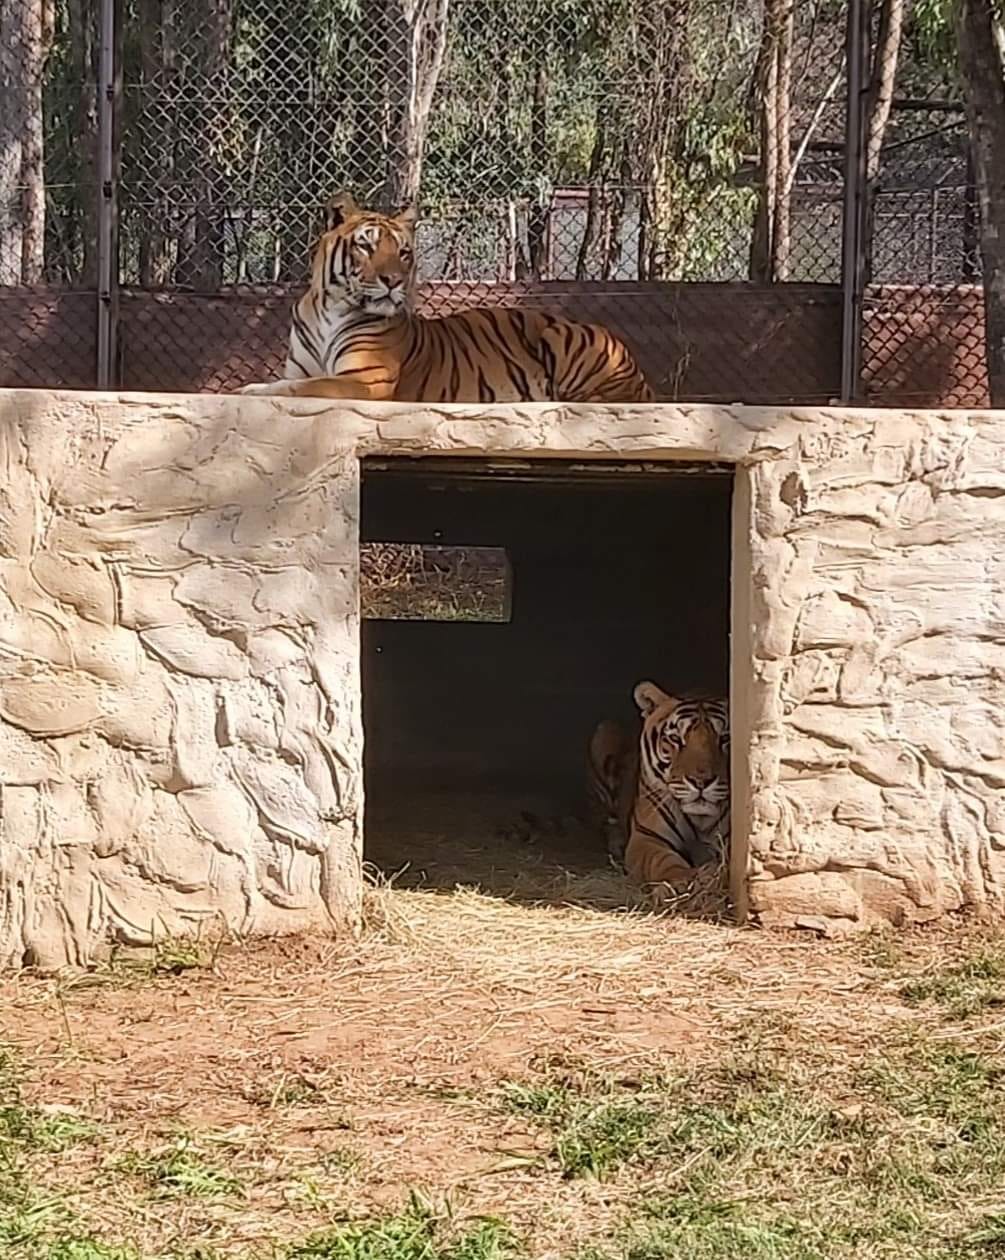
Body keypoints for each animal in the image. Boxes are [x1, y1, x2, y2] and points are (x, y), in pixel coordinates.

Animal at [237, 192, 654, 405]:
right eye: (366, 246)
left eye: (403, 252)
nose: (393, 281)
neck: (330, 309)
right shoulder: (304, 368)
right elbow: (294, 381)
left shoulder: (366, 379)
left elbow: (297, 388)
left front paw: (249, 389)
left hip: (566, 338)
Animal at [588, 683, 730, 904]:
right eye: (675, 739)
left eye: (725, 738)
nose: (700, 782)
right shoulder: (647, 838)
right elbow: (662, 860)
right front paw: (680, 882)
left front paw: (708, 874)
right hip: (604, 732)